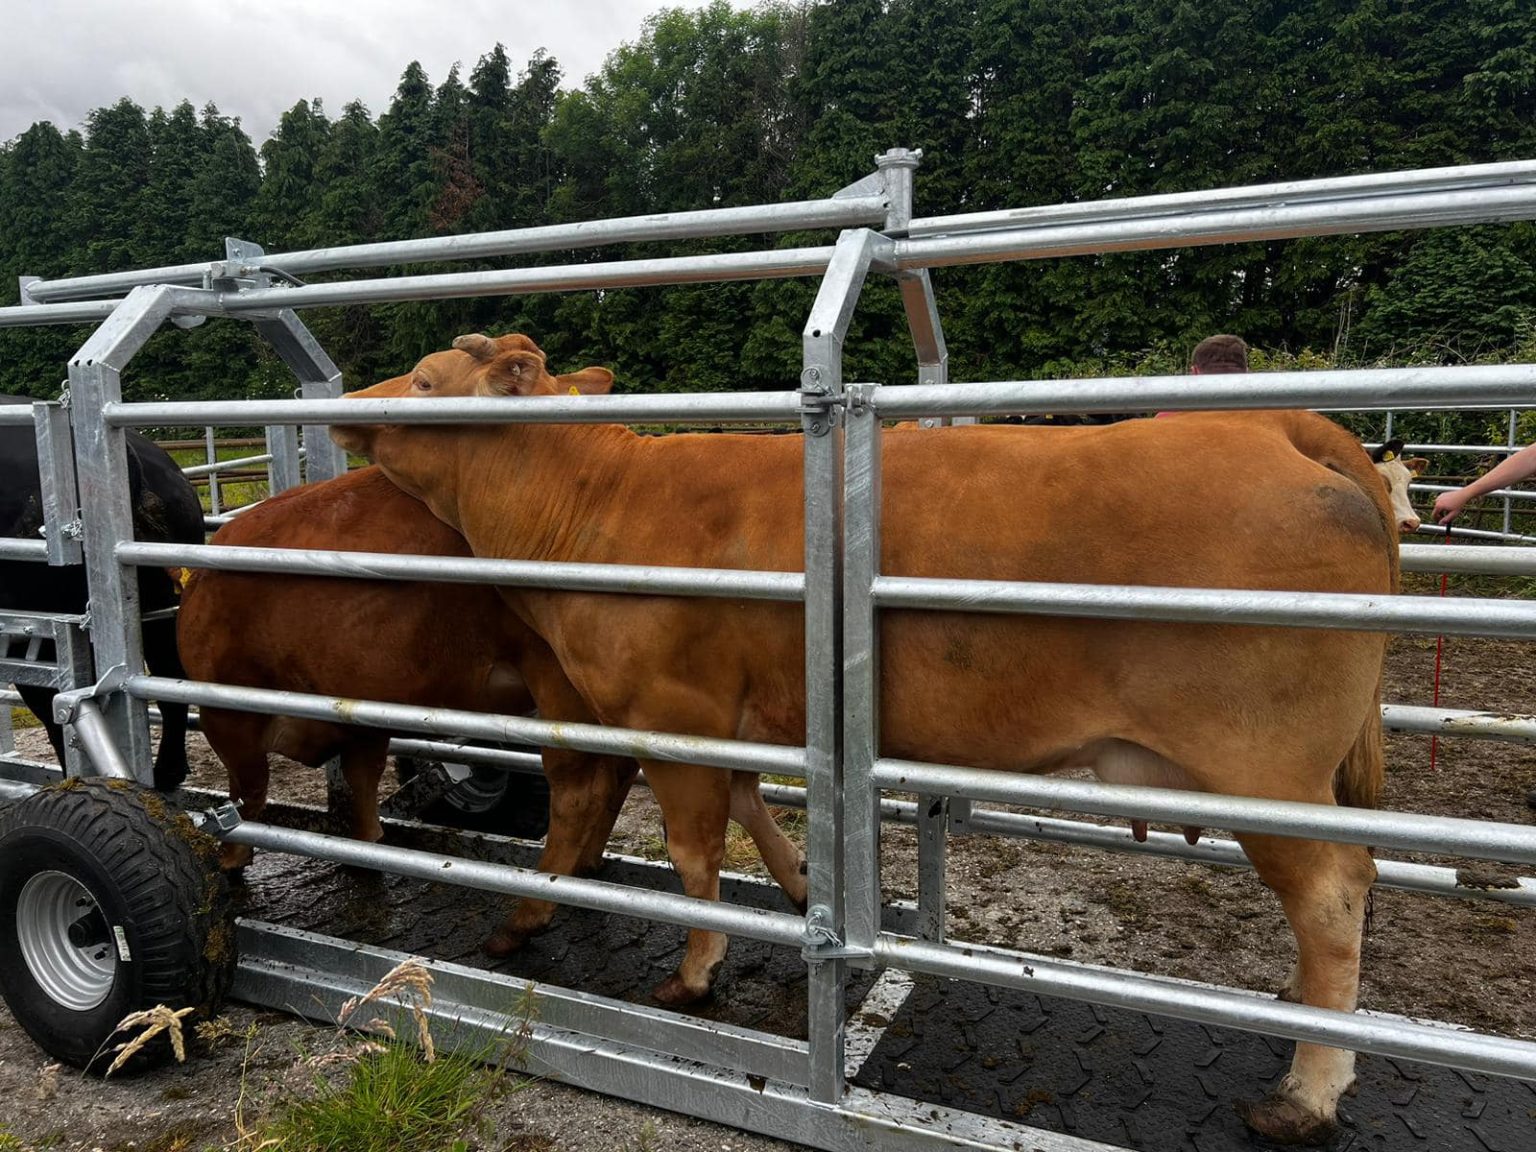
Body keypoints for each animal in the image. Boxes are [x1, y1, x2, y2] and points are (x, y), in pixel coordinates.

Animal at [176, 464, 807, 950]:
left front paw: (232, 857)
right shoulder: (363, 702)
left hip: (557, 676)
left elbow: (248, 789)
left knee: (580, 785)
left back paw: (526, 918)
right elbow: (361, 776)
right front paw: (366, 847)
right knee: (637, 771)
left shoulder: (225, 702)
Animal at [333, 333, 1397, 1145]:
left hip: (1261, 767)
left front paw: (696, 972)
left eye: (422, 380)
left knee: (1333, 893)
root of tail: (1272, 425)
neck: (592, 500)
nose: (345, 404)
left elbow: (692, 850)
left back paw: (1308, 1090)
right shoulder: (745, 715)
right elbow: (753, 809)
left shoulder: (675, 714)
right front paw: (804, 887)